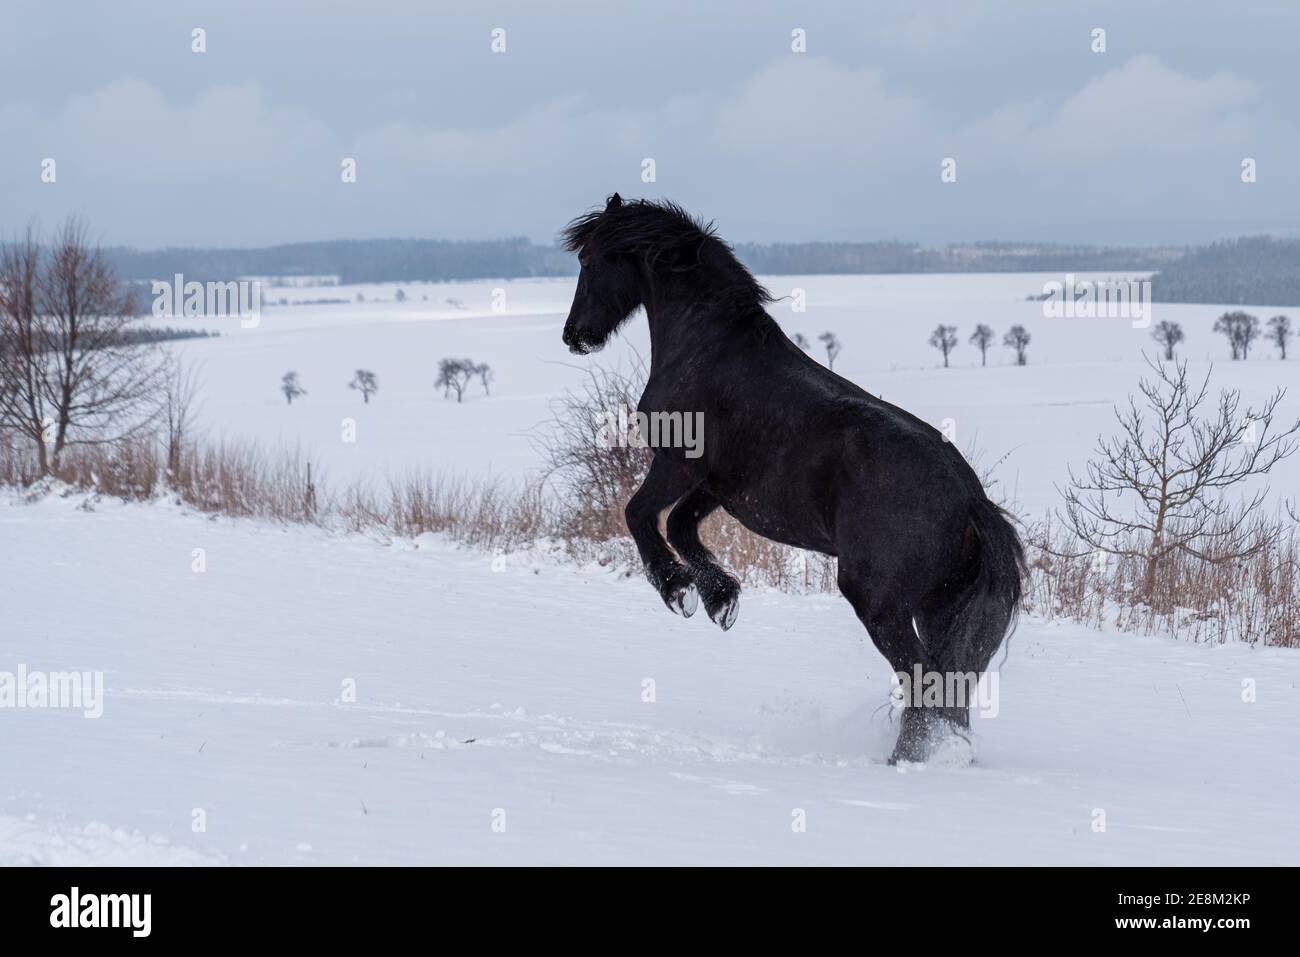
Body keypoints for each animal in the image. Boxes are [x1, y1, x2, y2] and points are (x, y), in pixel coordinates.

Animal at [560, 194, 1024, 763]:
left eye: (589, 261)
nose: (575, 336)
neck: (707, 348)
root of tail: (972, 504)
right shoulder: (720, 487)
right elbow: (681, 528)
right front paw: (721, 600)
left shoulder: (677, 465)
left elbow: (640, 515)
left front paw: (679, 592)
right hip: (939, 610)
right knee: (948, 692)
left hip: (880, 603)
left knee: (924, 682)